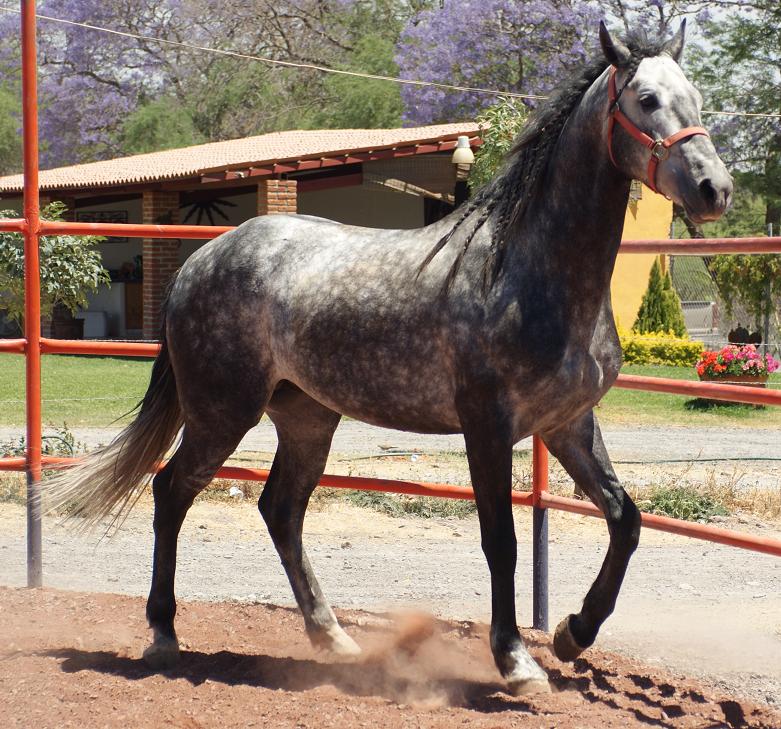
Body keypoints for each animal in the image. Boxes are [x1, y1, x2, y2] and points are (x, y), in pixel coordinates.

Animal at [46, 21, 732, 695]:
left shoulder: (568, 425)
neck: (525, 270)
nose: (714, 190)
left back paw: (333, 639)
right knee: (171, 492)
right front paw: (516, 661)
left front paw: (572, 633)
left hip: (306, 417)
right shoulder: (488, 427)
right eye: (647, 100)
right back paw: (165, 634)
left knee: (279, 511)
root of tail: (198, 260)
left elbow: (626, 519)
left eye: (697, 97)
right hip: (222, 412)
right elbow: (502, 541)